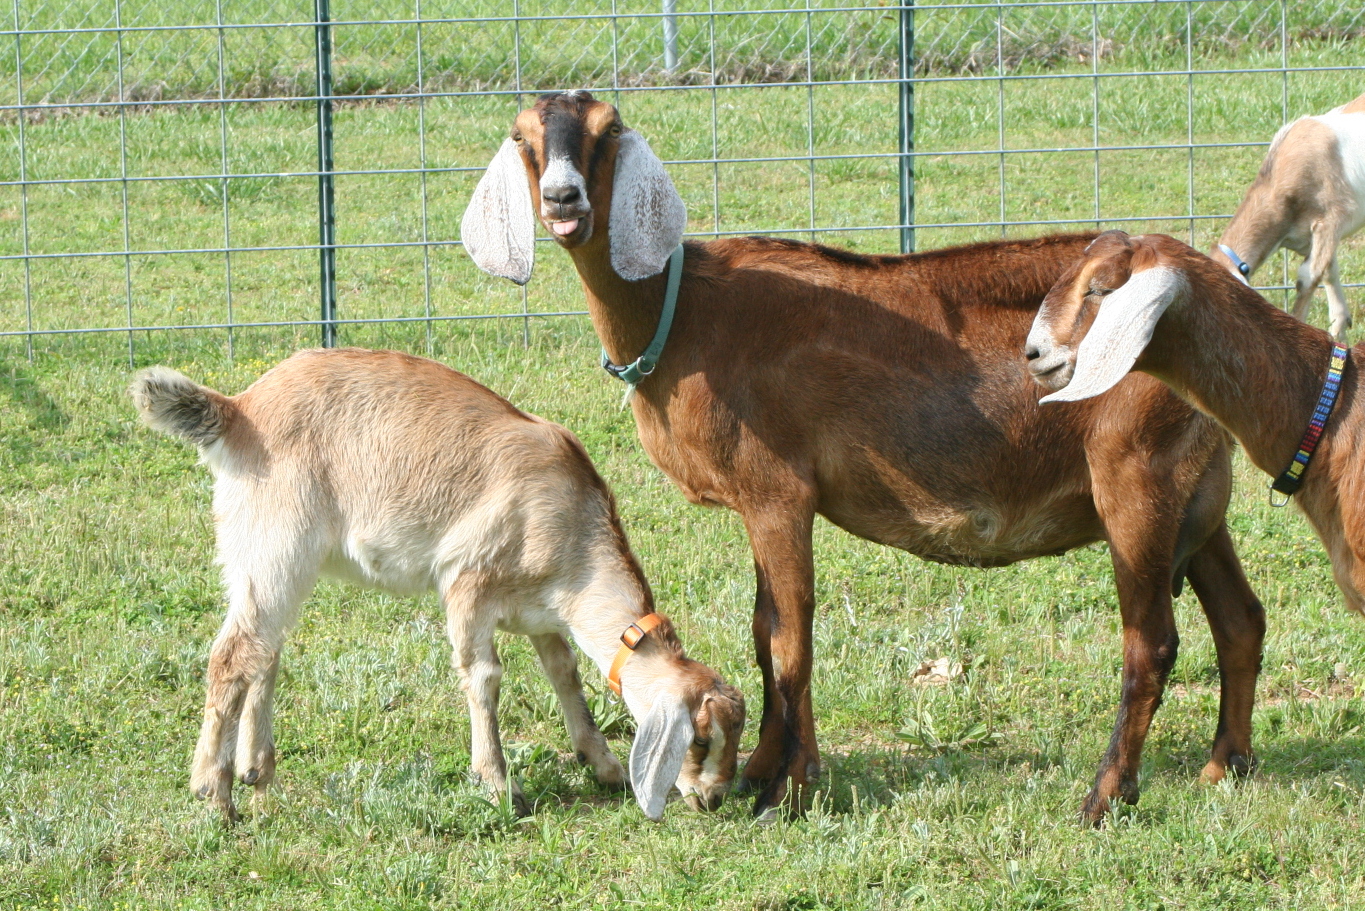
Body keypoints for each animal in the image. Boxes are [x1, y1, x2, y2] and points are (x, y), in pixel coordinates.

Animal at [130, 347, 744, 824]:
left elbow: (564, 673)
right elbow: (485, 676)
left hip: (275, 560)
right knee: (233, 654)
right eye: (701, 738)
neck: (571, 524)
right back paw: (215, 794)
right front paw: (498, 785)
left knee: (264, 649)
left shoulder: (541, 614)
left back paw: (257, 773)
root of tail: (240, 410)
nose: (713, 799)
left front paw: (606, 766)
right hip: (275, 542)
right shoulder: (468, 585)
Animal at [460, 90, 1266, 825]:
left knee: (1151, 644)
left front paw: (788, 789)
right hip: (1198, 497)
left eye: (607, 131)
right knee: (1240, 618)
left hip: (1136, 479)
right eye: (524, 137)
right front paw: (763, 767)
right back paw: (1225, 763)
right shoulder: (763, 502)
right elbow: (765, 632)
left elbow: (790, 638)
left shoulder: (778, 490)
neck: (686, 311)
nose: (563, 200)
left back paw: (1105, 795)